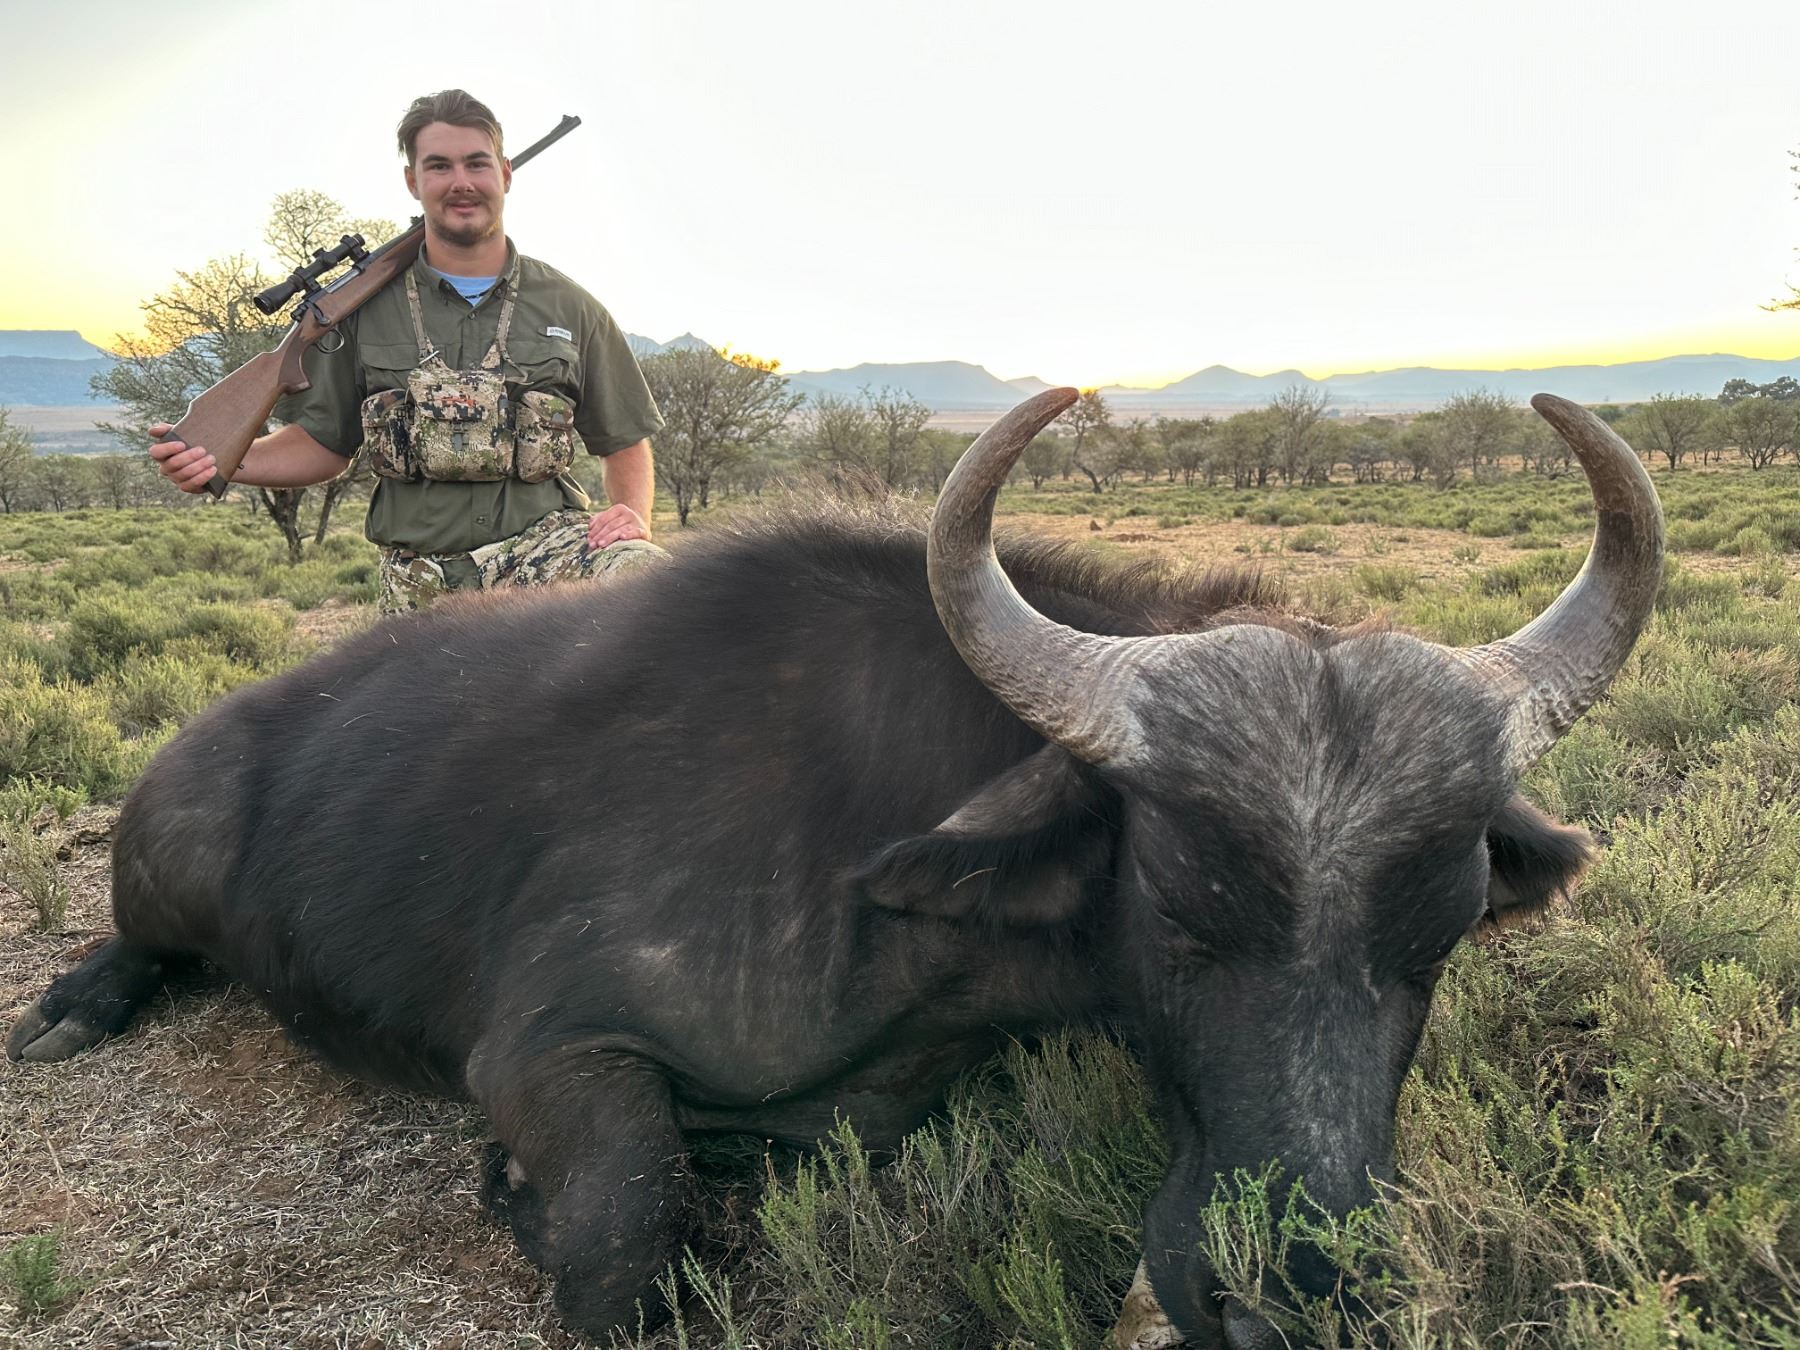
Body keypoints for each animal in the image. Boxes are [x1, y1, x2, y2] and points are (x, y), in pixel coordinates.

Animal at [8, 389, 1662, 1347]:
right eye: (1186, 912)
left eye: (1438, 935)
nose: (1289, 1298)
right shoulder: (550, 1051)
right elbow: (626, 1243)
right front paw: (521, 1196)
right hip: (162, 875)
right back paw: (76, 1002)